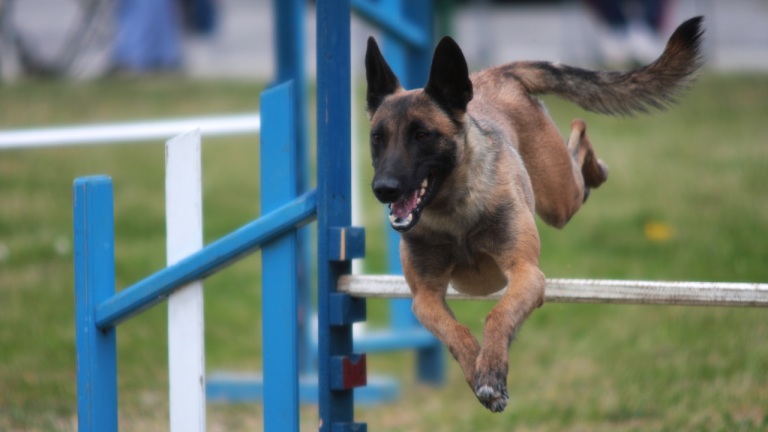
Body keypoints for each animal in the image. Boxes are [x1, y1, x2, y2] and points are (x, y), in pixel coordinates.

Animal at [364, 16, 704, 412]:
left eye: (421, 135)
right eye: (377, 138)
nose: (383, 189)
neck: (454, 212)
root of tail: (497, 73)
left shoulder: (527, 274)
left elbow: (498, 315)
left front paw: (491, 373)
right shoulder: (425, 297)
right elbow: (455, 331)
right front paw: (477, 369)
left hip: (558, 198)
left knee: (579, 137)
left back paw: (595, 169)